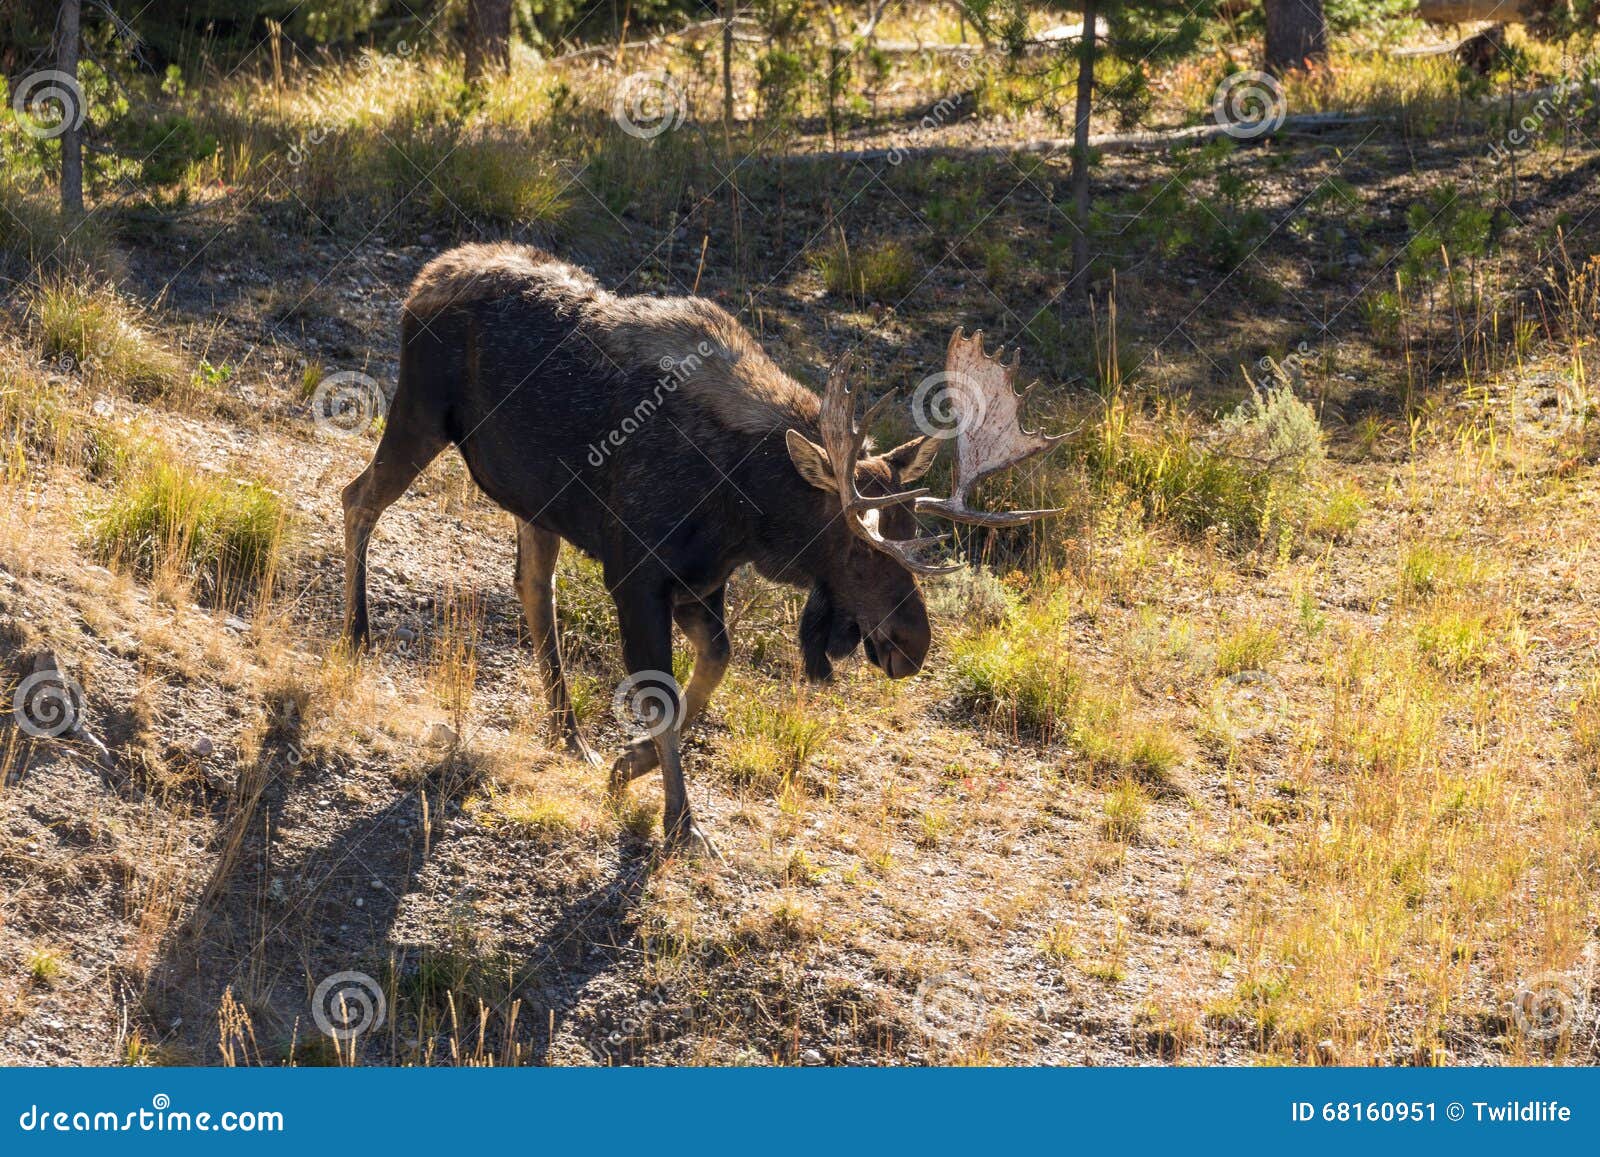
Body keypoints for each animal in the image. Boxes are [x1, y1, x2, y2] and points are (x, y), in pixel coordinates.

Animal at [341, 244, 1062, 856]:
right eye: (858, 548)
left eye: (910, 530)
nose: (914, 645)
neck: (749, 512)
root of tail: (424, 278)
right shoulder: (635, 575)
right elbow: (663, 695)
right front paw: (680, 821)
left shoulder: (700, 583)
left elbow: (713, 668)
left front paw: (626, 765)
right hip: (419, 414)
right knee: (357, 499)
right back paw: (356, 637)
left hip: (533, 500)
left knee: (531, 585)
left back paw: (568, 731)